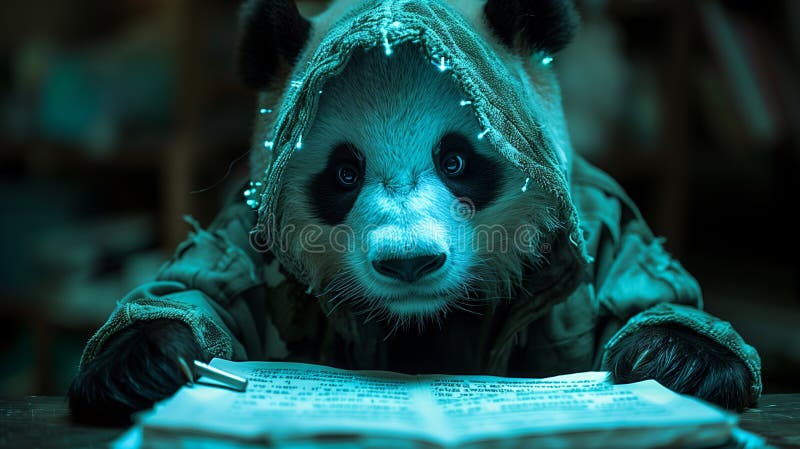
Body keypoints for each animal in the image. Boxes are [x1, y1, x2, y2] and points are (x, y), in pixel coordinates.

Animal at [68, 0, 760, 424]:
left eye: (456, 160)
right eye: (344, 174)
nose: (409, 263)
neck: (423, 318)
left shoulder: (595, 214)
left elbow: (639, 283)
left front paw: (678, 359)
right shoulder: (250, 224)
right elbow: (204, 283)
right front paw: (144, 360)